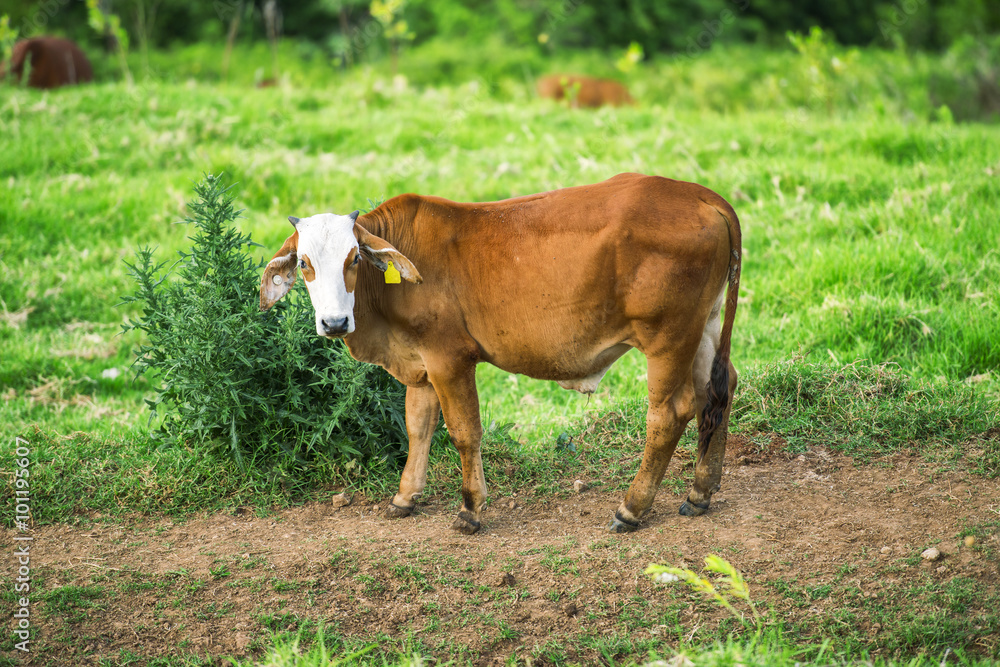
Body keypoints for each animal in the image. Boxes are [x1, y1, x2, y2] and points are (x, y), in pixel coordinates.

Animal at [260, 173, 741, 534]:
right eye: (303, 263)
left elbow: (463, 432)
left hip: (667, 340)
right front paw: (404, 496)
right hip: (704, 329)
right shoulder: (420, 363)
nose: (334, 323)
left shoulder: (449, 359)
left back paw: (632, 507)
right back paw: (701, 491)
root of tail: (703, 195)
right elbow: (418, 427)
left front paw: (470, 508)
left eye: (354, 258)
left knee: (669, 413)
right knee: (718, 391)